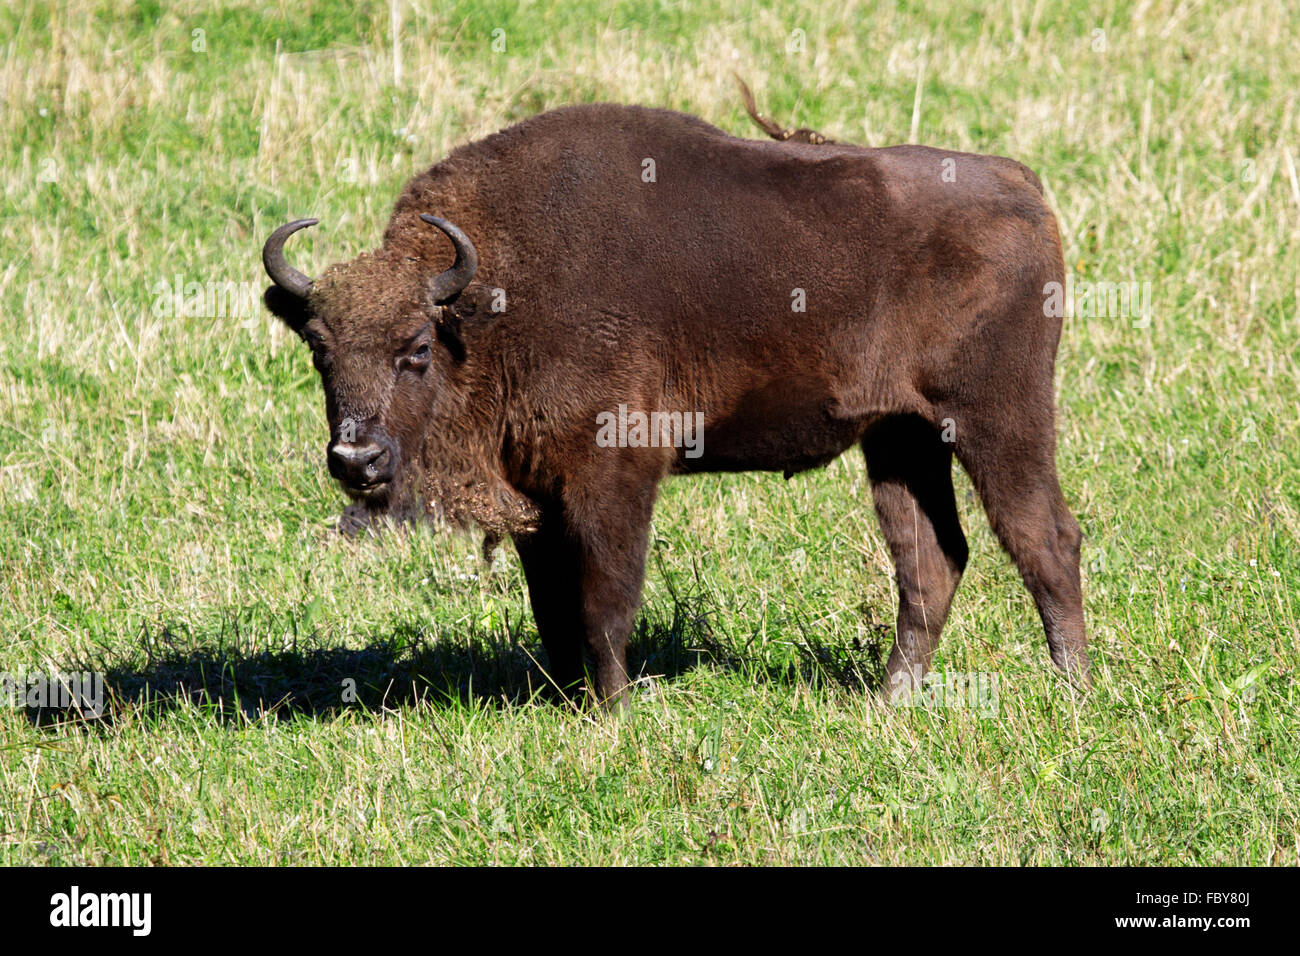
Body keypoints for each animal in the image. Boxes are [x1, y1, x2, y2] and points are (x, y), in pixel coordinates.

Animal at [261, 90, 1088, 709]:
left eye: (417, 349)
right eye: (320, 349)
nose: (355, 458)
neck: (489, 301)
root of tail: (1023, 187)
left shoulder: (613, 474)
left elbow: (604, 600)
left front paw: (614, 710)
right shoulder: (538, 493)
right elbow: (553, 606)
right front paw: (568, 701)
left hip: (996, 420)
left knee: (1043, 538)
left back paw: (1074, 690)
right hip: (900, 439)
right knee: (931, 559)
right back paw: (889, 700)